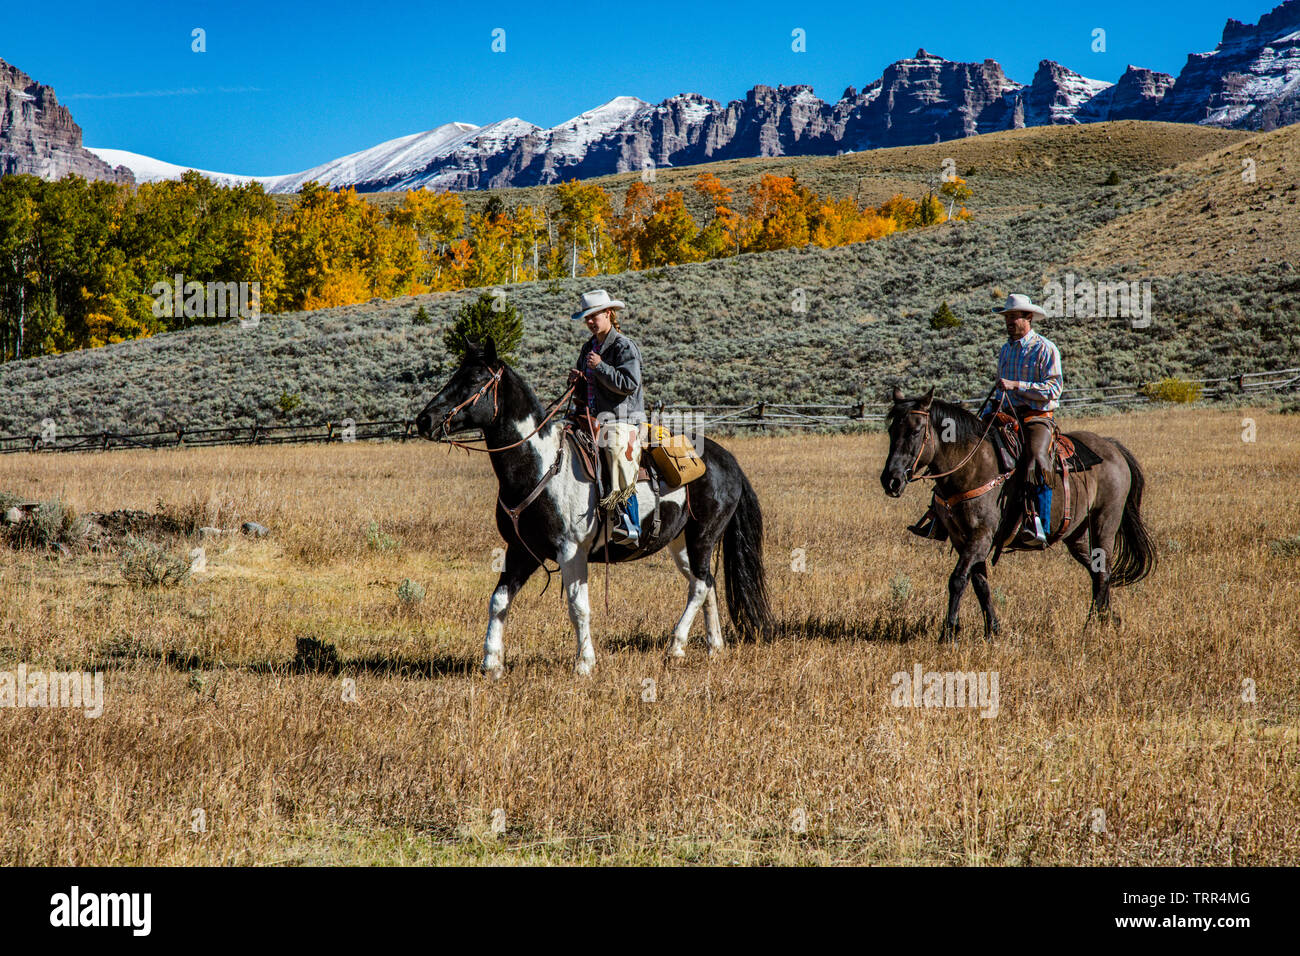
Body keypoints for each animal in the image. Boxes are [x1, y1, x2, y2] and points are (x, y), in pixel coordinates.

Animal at [414, 337, 771, 677]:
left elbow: (578, 607)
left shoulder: (572, 550)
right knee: (707, 583)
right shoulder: (522, 550)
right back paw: (714, 647)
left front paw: (584, 663)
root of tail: (727, 460)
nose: (423, 419)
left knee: (698, 586)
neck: (541, 464)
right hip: (681, 544)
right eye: (455, 374)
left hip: (702, 537)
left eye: (475, 378)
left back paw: (675, 646)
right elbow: (499, 600)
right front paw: (491, 663)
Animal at [879, 386, 1156, 640]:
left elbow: (958, 579)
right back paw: (1109, 618)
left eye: (915, 431)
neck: (972, 467)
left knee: (1102, 570)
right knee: (1096, 569)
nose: (890, 480)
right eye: (892, 431)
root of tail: (1113, 448)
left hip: (1105, 522)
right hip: (1075, 533)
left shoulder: (981, 535)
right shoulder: (961, 538)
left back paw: (1092, 626)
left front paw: (949, 633)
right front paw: (992, 630)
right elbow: (980, 583)